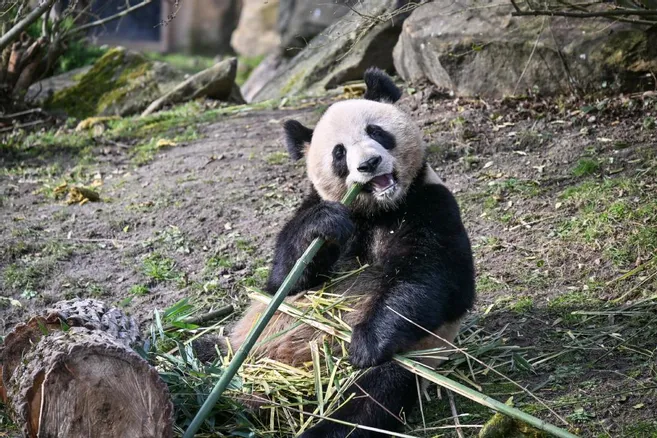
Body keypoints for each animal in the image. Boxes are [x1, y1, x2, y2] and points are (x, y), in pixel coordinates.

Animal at [228, 68, 475, 438]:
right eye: (339, 153)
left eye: (376, 132)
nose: (369, 164)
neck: (378, 210)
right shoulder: (319, 206)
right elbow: (283, 282)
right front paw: (324, 225)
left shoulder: (431, 204)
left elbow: (432, 278)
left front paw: (366, 341)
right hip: (243, 345)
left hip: (403, 365)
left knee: (364, 404)